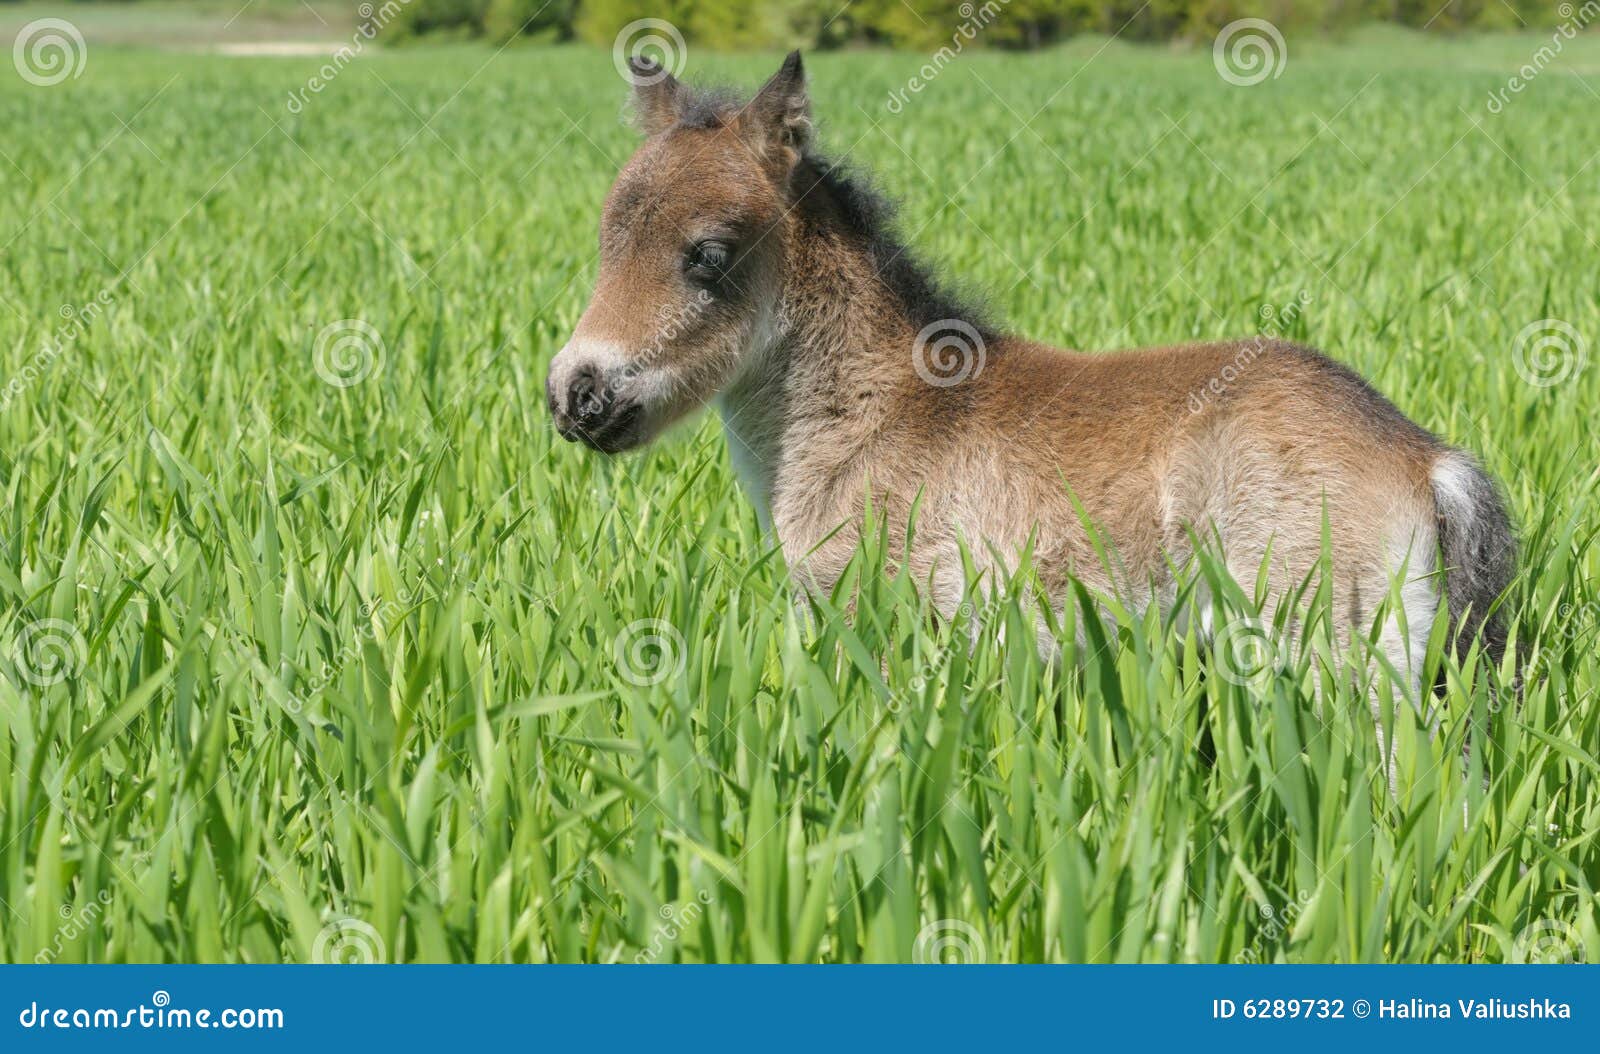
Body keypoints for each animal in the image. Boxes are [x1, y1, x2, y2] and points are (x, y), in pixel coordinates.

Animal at [546, 51, 1515, 693]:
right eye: (605, 241)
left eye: (707, 256)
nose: (576, 394)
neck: (877, 412)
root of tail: (1424, 456)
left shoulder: (883, 633)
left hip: (1340, 665)